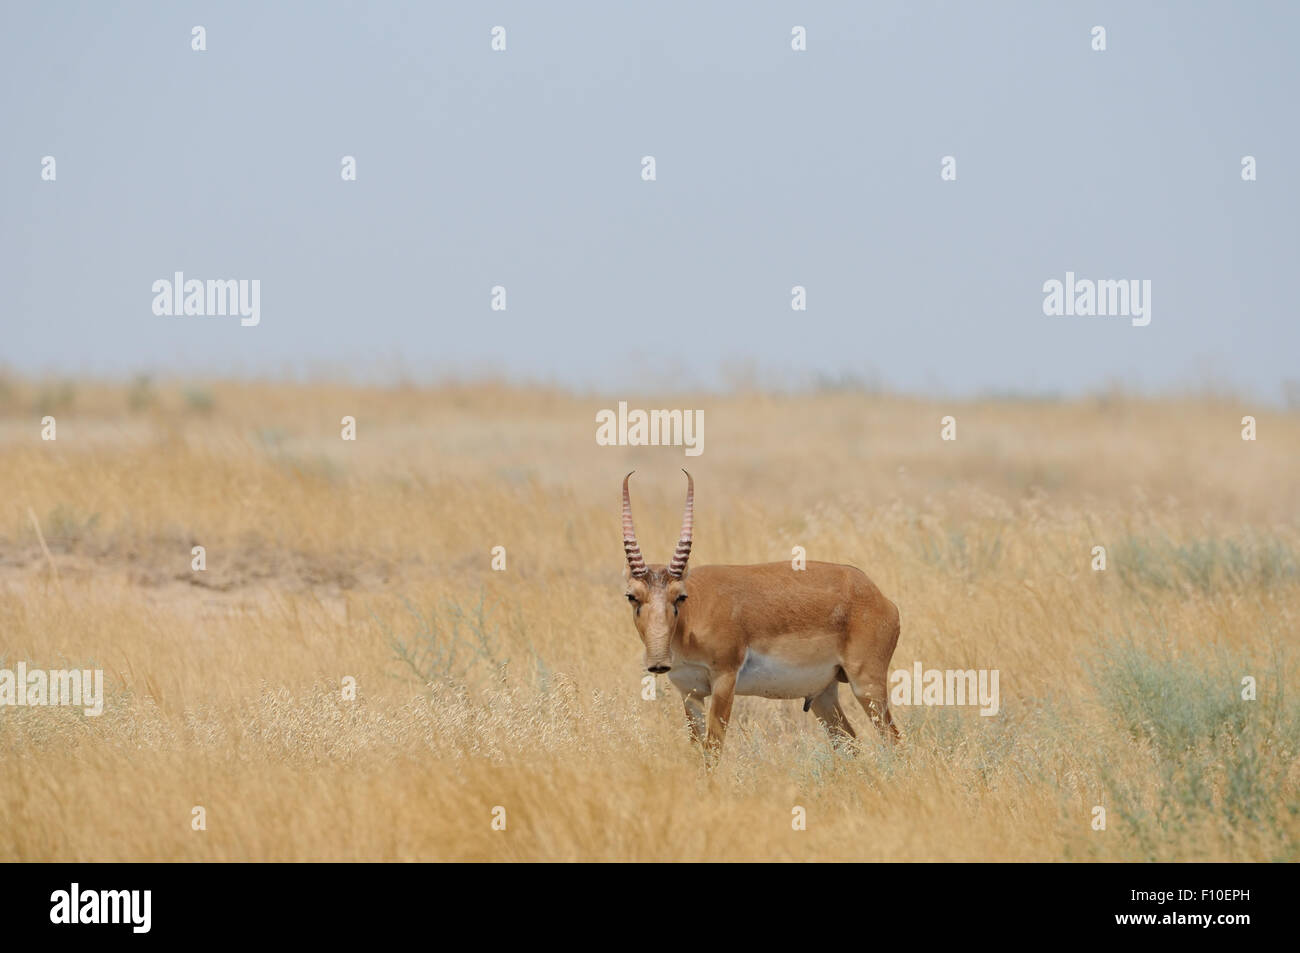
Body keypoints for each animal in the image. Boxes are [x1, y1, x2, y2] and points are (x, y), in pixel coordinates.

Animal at [621, 470, 901, 757]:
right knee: (850, 742)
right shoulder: (690, 692)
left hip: (866, 687)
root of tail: (878, 596)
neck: (691, 618)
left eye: (680, 596)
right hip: (823, 694)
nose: (658, 663)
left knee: (893, 740)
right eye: (632, 596)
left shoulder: (724, 681)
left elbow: (714, 749)